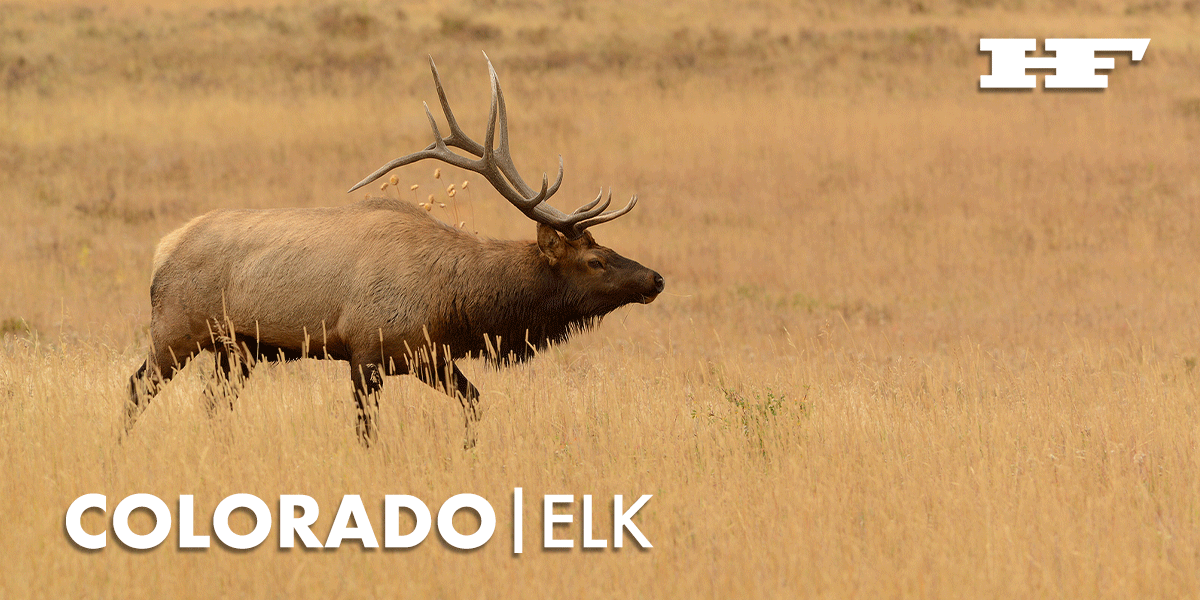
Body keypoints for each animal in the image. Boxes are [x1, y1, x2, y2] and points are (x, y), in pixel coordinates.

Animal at [124, 54, 664, 448]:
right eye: (594, 261)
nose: (655, 278)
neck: (453, 303)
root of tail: (161, 249)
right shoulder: (364, 351)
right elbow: (367, 432)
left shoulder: (428, 356)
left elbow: (475, 402)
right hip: (175, 330)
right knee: (135, 388)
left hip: (237, 350)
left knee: (212, 402)